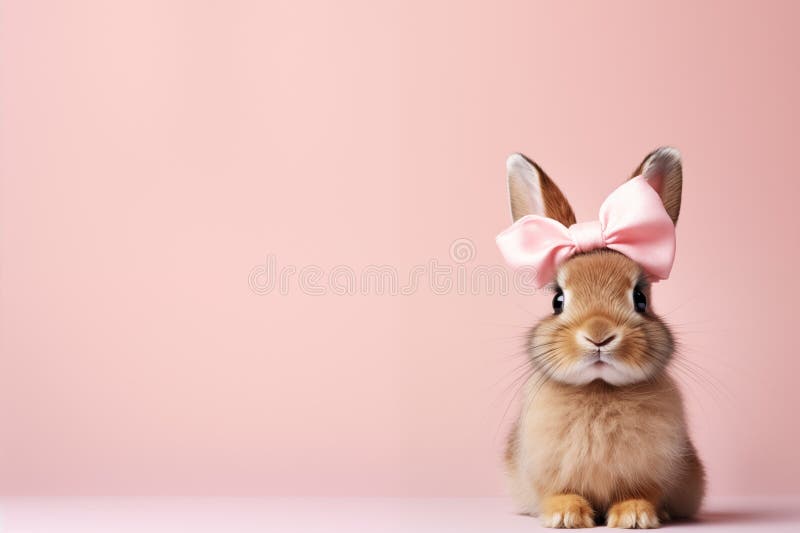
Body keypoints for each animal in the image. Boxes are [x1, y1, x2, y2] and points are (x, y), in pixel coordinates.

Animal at [501, 147, 705, 529]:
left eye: (640, 298)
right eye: (557, 300)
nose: (599, 335)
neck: (600, 389)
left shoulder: (654, 472)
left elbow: (642, 492)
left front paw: (635, 516)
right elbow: (556, 491)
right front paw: (566, 515)